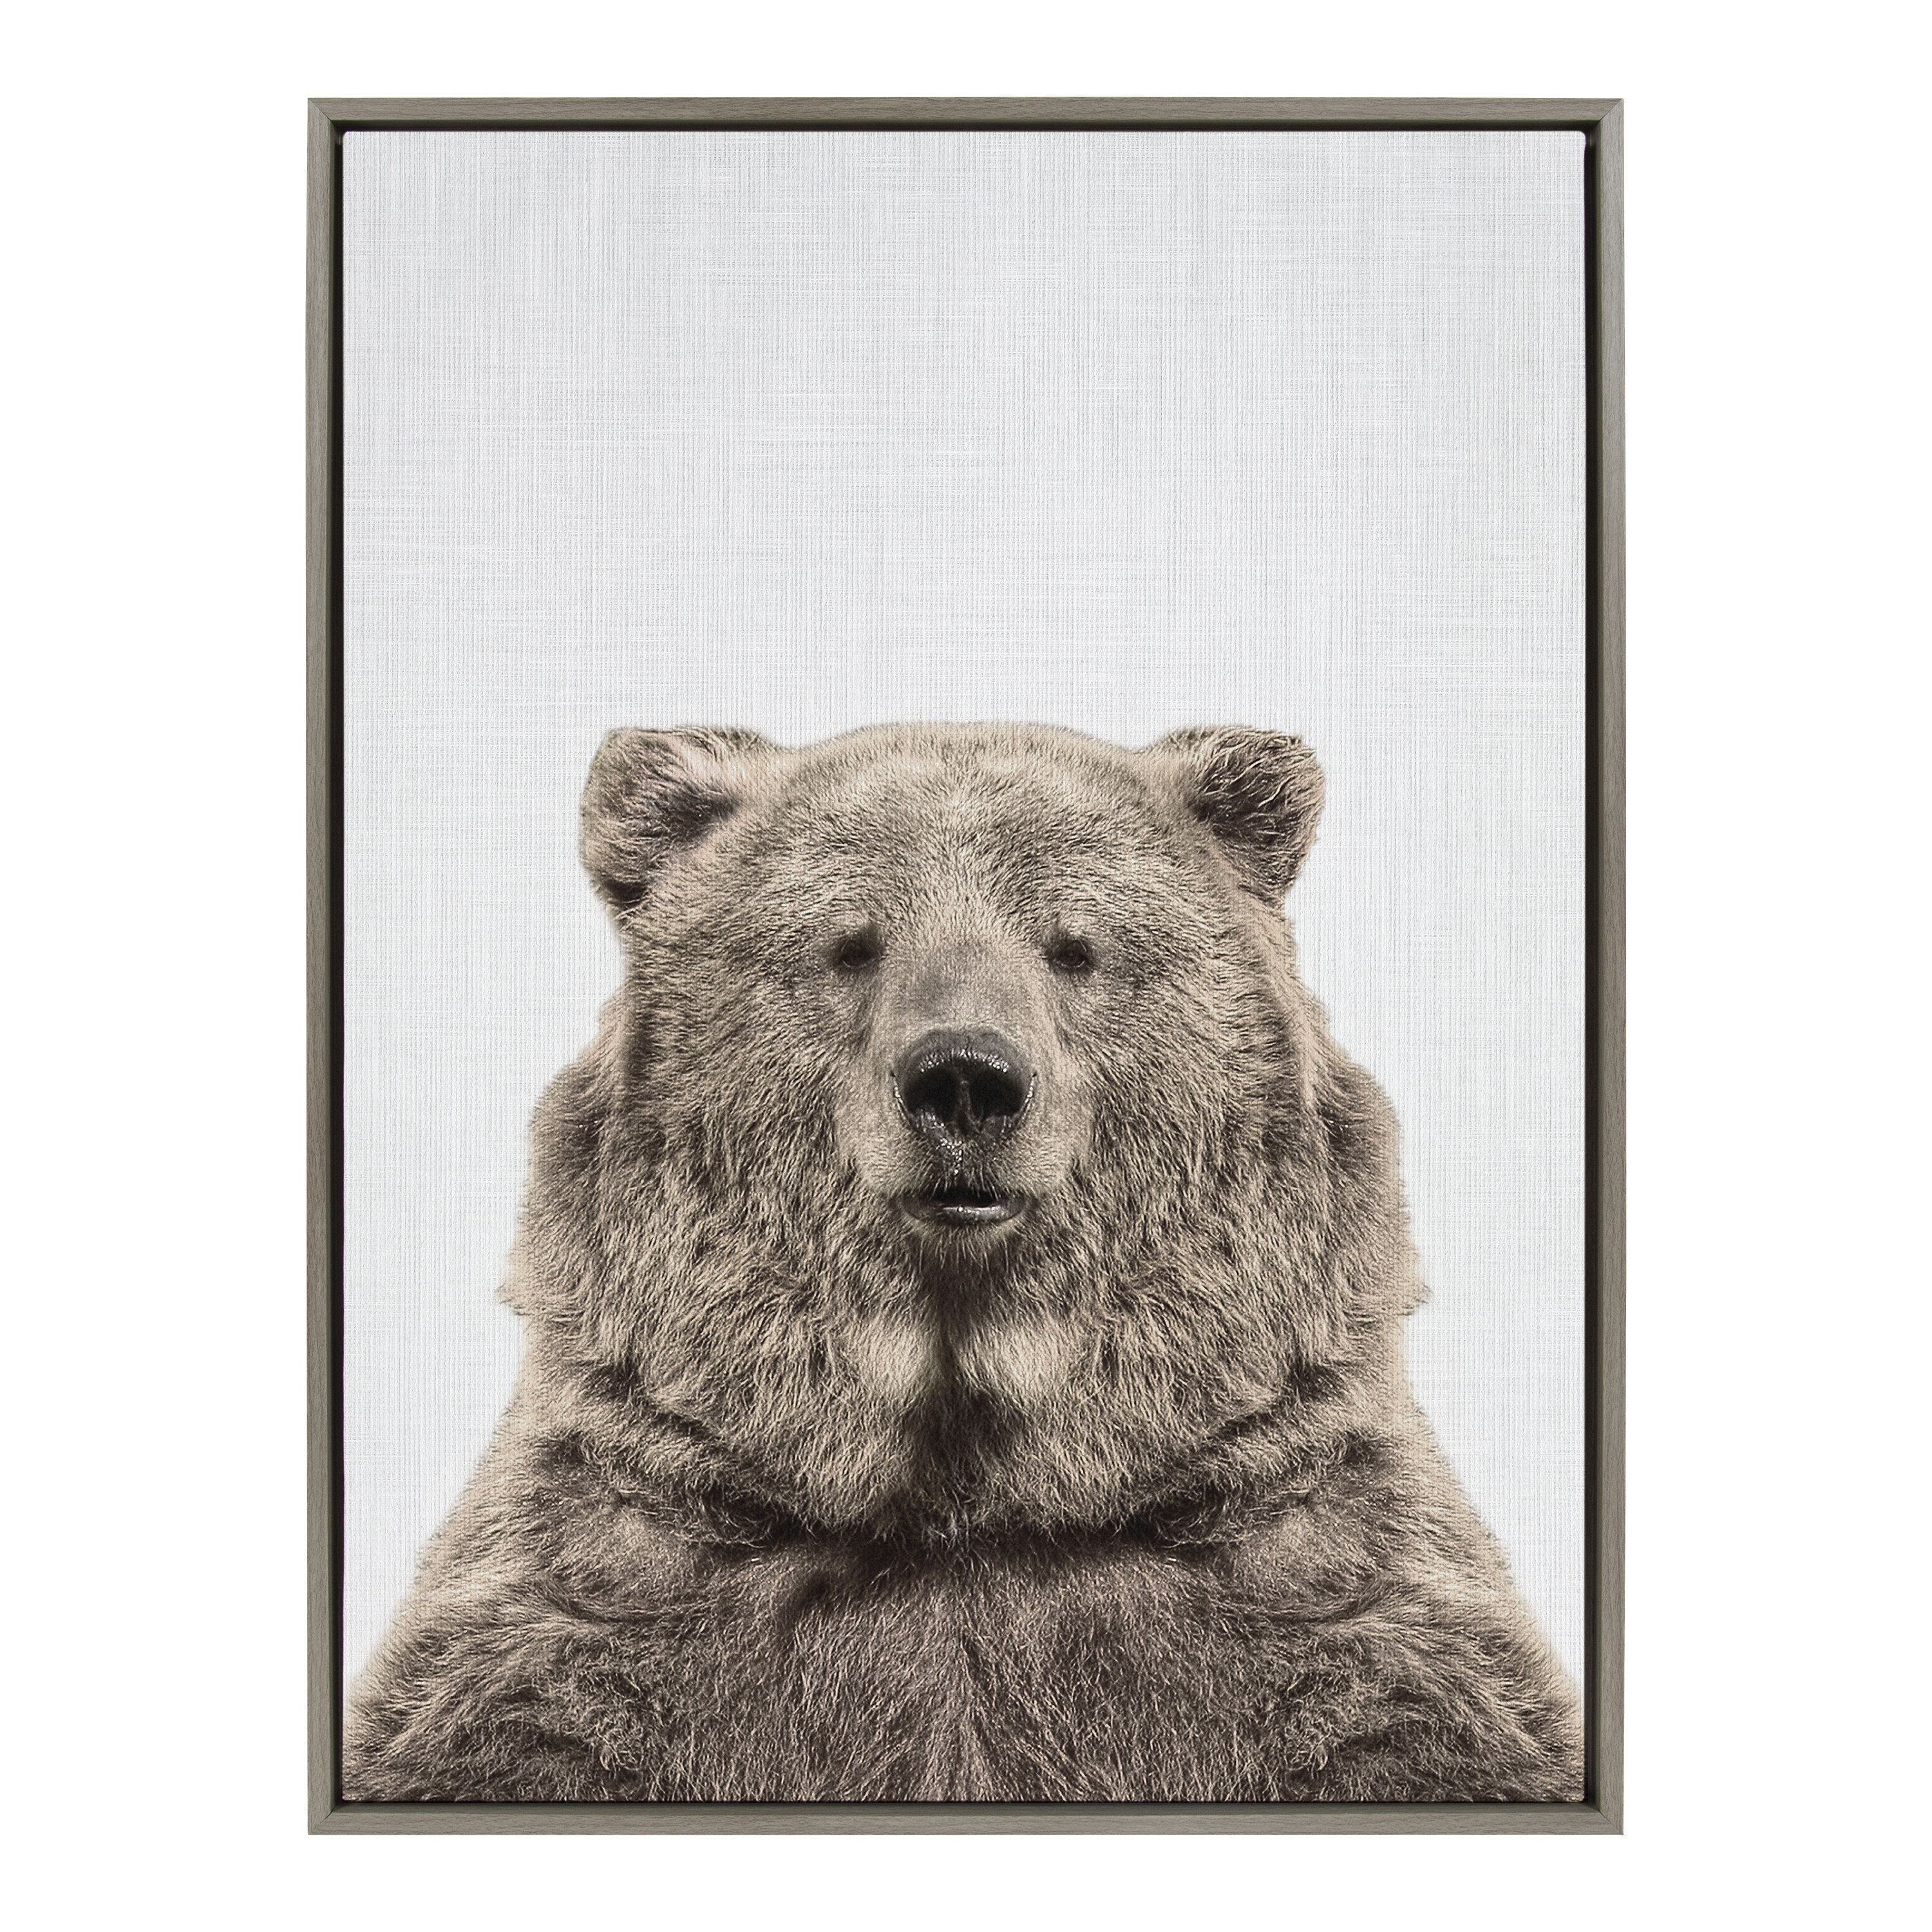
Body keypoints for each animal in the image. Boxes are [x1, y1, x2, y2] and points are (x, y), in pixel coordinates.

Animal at [343, 720, 1584, 1805]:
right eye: (850, 944)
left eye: (1073, 946)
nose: (965, 1082)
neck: (967, 1495)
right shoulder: (611, 1581)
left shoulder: (1313, 1575)